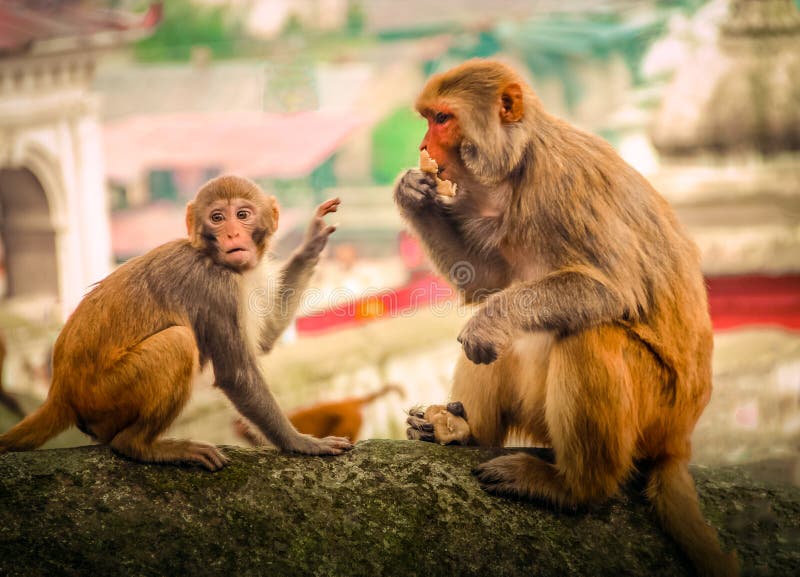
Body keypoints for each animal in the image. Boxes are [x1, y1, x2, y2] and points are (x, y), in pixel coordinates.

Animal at [0, 175, 353, 469]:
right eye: (217, 218)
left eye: (242, 215)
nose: (232, 233)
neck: (210, 255)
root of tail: (61, 391)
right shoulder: (215, 287)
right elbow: (237, 376)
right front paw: (301, 443)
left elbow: (264, 340)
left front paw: (311, 242)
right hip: (104, 393)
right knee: (178, 342)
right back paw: (140, 446)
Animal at [395, 60, 738, 577]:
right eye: (428, 119)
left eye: (441, 119)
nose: (422, 147)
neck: (519, 165)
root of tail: (681, 441)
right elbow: (489, 281)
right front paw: (414, 193)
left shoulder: (563, 184)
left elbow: (612, 289)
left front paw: (486, 321)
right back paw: (463, 432)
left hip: (656, 414)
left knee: (588, 334)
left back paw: (572, 487)